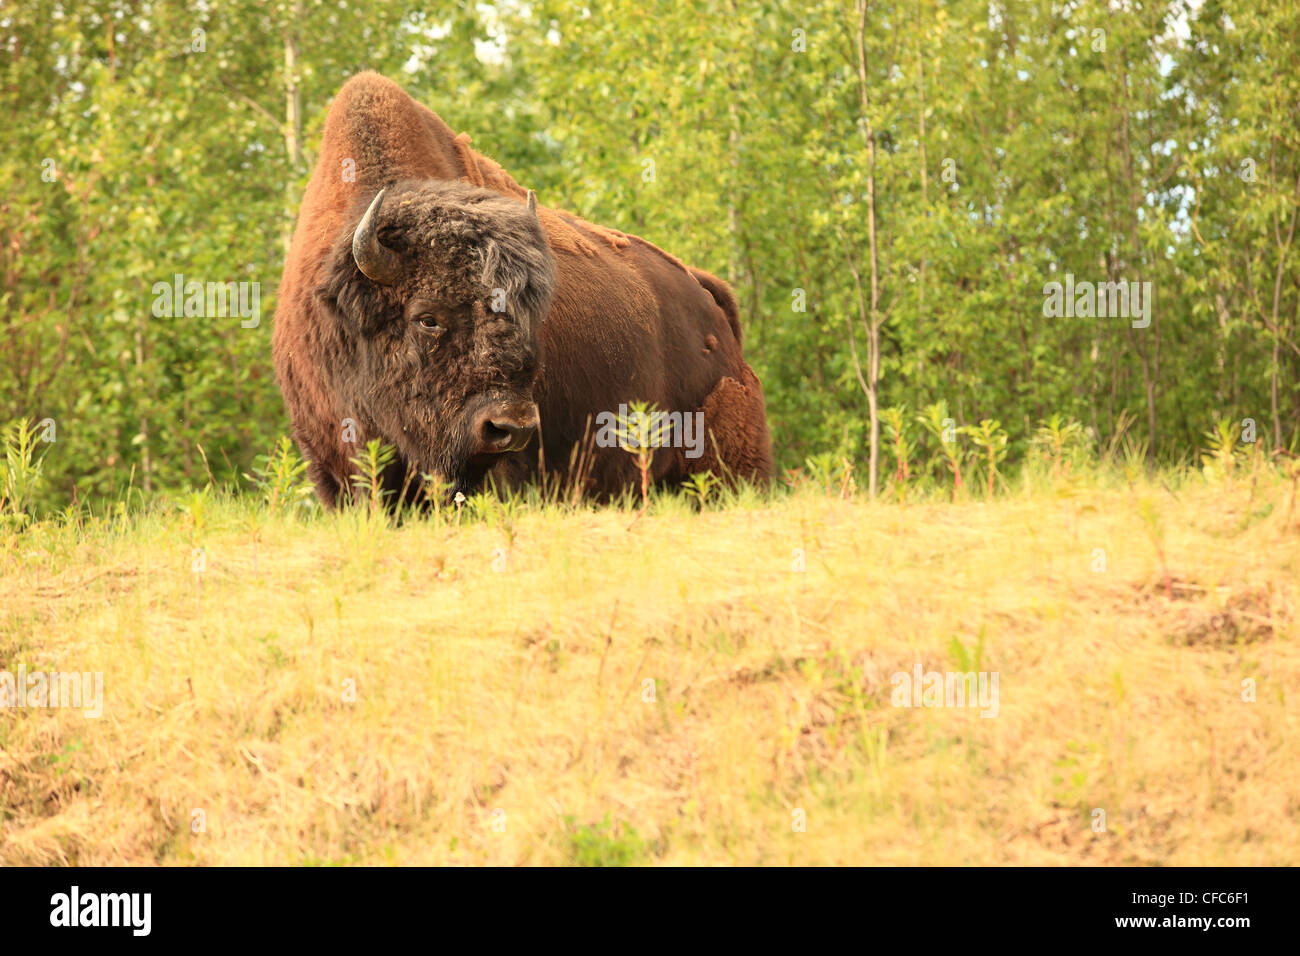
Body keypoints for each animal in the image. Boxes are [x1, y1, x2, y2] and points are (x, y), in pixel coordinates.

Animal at [273, 72, 772, 505]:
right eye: (427, 317)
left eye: (529, 314)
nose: (510, 427)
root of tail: (706, 293)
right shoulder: (329, 458)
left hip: (727, 469)